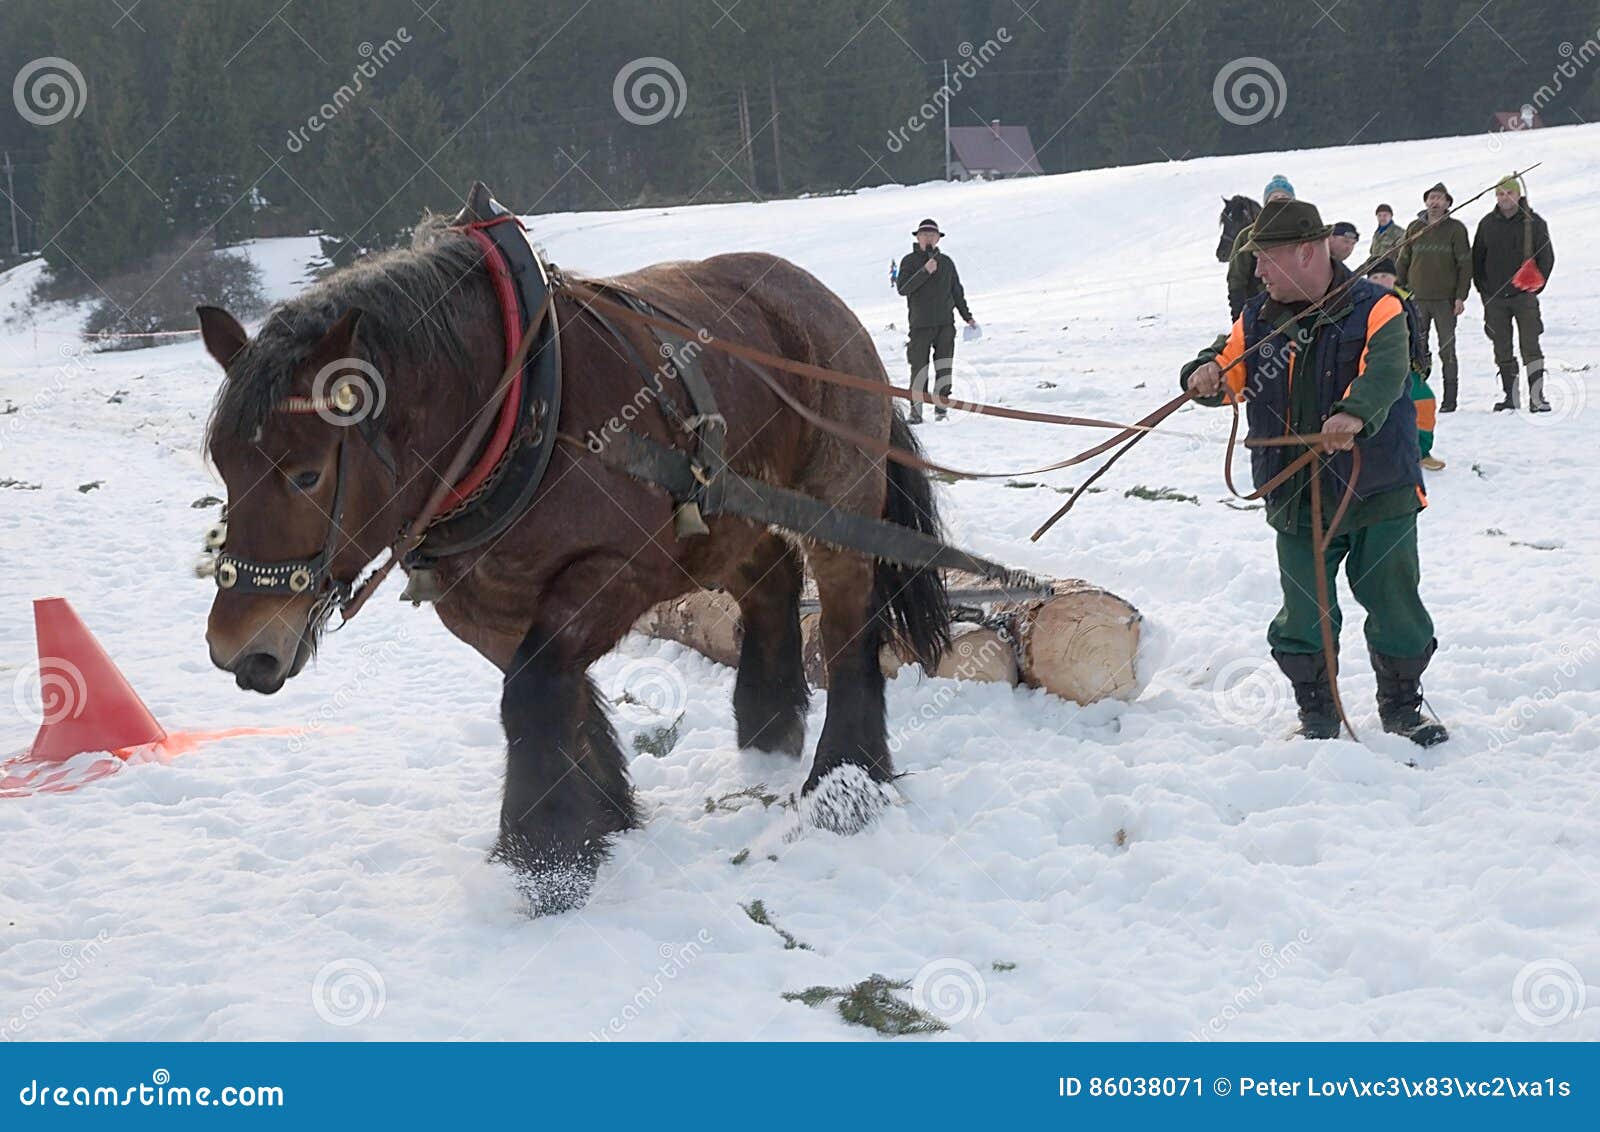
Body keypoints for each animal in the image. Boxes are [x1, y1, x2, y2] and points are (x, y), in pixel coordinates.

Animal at [197, 214, 951, 914]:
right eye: (225, 467)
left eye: (306, 474)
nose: (238, 647)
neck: (518, 409)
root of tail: (816, 297)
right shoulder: (481, 607)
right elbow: (558, 695)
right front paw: (601, 820)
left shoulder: (619, 569)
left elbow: (533, 691)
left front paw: (544, 859)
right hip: (728, 513)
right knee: (769, 580)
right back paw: (767, 730)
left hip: (838, 495)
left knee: (848, 618)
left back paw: (846, 779)